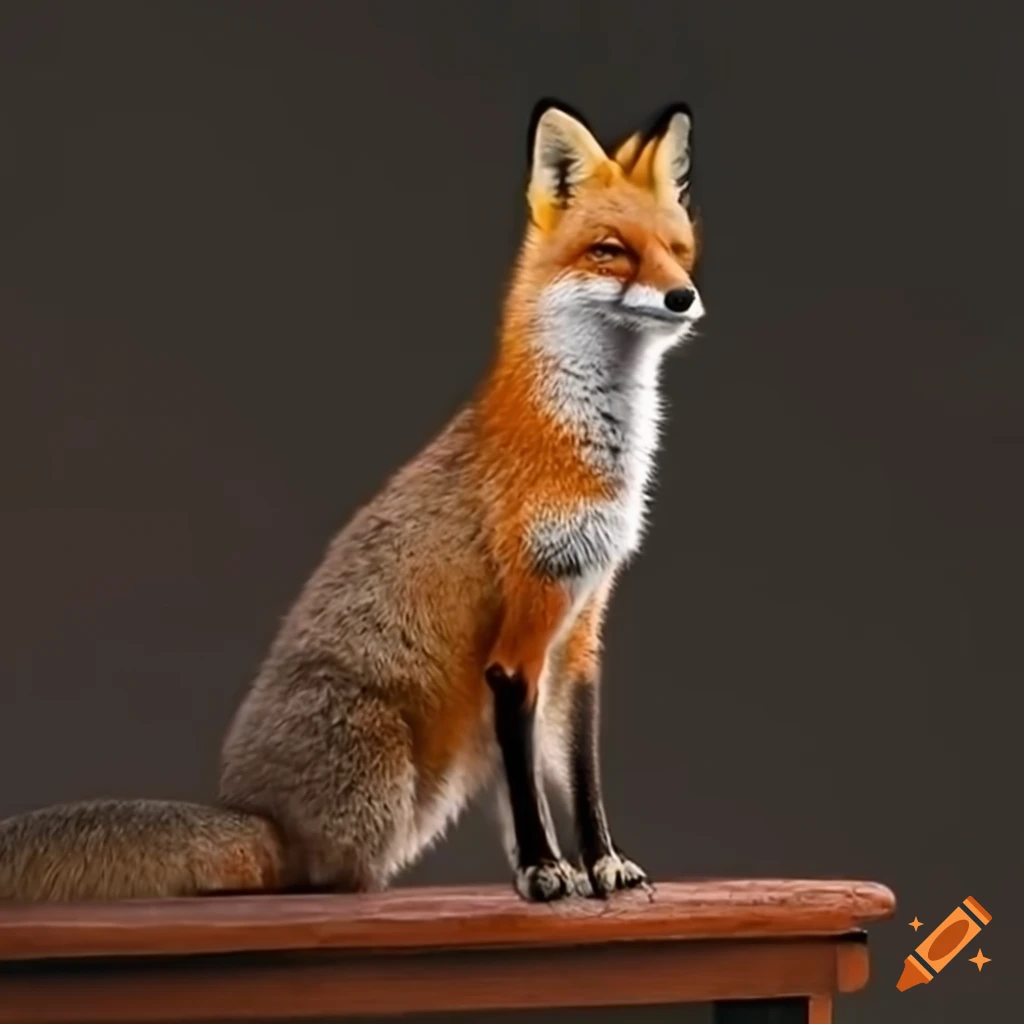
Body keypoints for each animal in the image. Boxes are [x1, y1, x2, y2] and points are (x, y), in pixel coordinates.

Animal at [0, 97, 705, 904]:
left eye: (679, 251)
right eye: (611, 251)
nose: (682, 296)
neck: (582, 450)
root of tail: (258, 813)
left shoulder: (579, 627)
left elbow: (579, 774)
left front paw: (604, 865)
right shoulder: (518, 642)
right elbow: (528, 790)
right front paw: (542, 870)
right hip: (386, 767)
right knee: (322, 880)